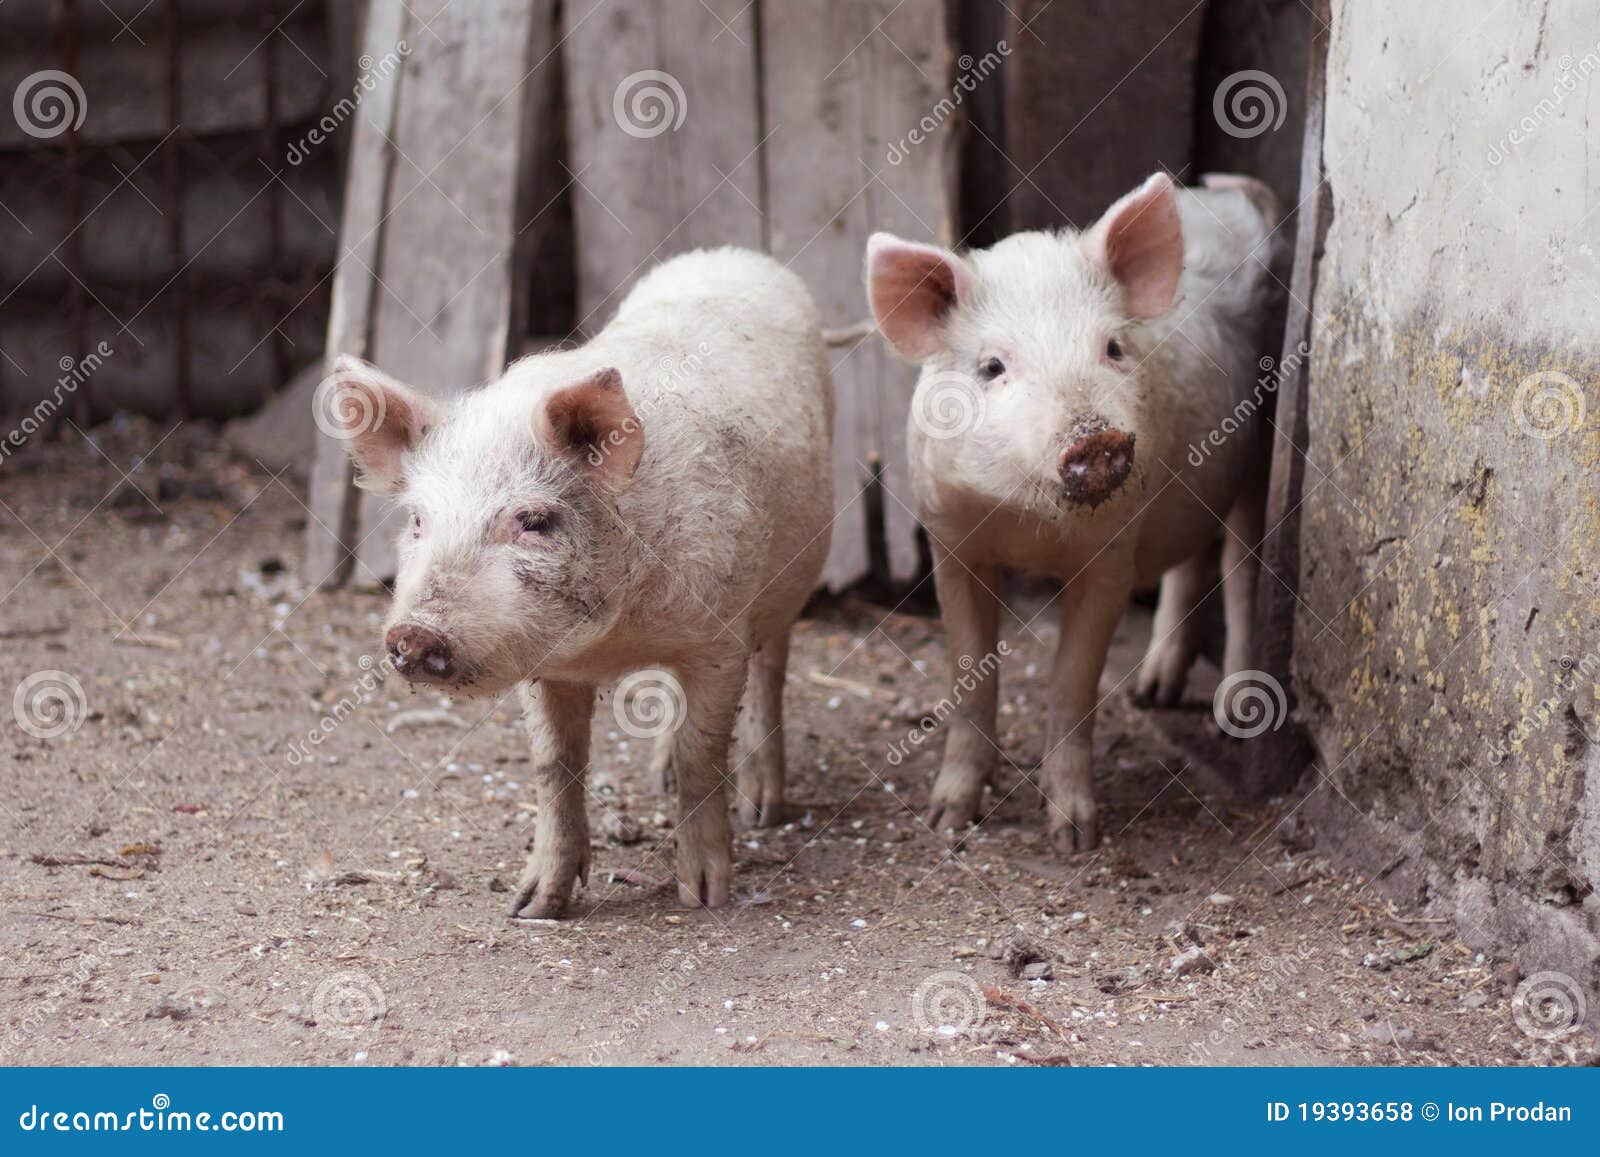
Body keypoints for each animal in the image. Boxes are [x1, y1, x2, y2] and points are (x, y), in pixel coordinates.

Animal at [328, 247, 834, 915]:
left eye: (534, 521)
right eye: (417, 520)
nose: (413, 633)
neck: (614, 639)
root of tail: (735, 255)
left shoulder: (720, 636)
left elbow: (702, 754)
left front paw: (704, 897)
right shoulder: (546, 666)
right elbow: (556, 766)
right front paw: (531, 907)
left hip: (793, 577)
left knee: (772, 671)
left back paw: (762, 807)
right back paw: (657, 778)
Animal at [864, 172, 1287, 852]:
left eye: (1112, 347)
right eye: (992, 366)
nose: (1096, 437)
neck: (1028, 521)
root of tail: (1230, 196)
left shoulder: (1112, 554)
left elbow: (1072, 682)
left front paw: (1073, 837)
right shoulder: (950, 544)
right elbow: (971, 680)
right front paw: (946, 820)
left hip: (1263, 440)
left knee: (1241, 560)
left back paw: (1231, 717)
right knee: (1192, 558)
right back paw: (1151, 691)